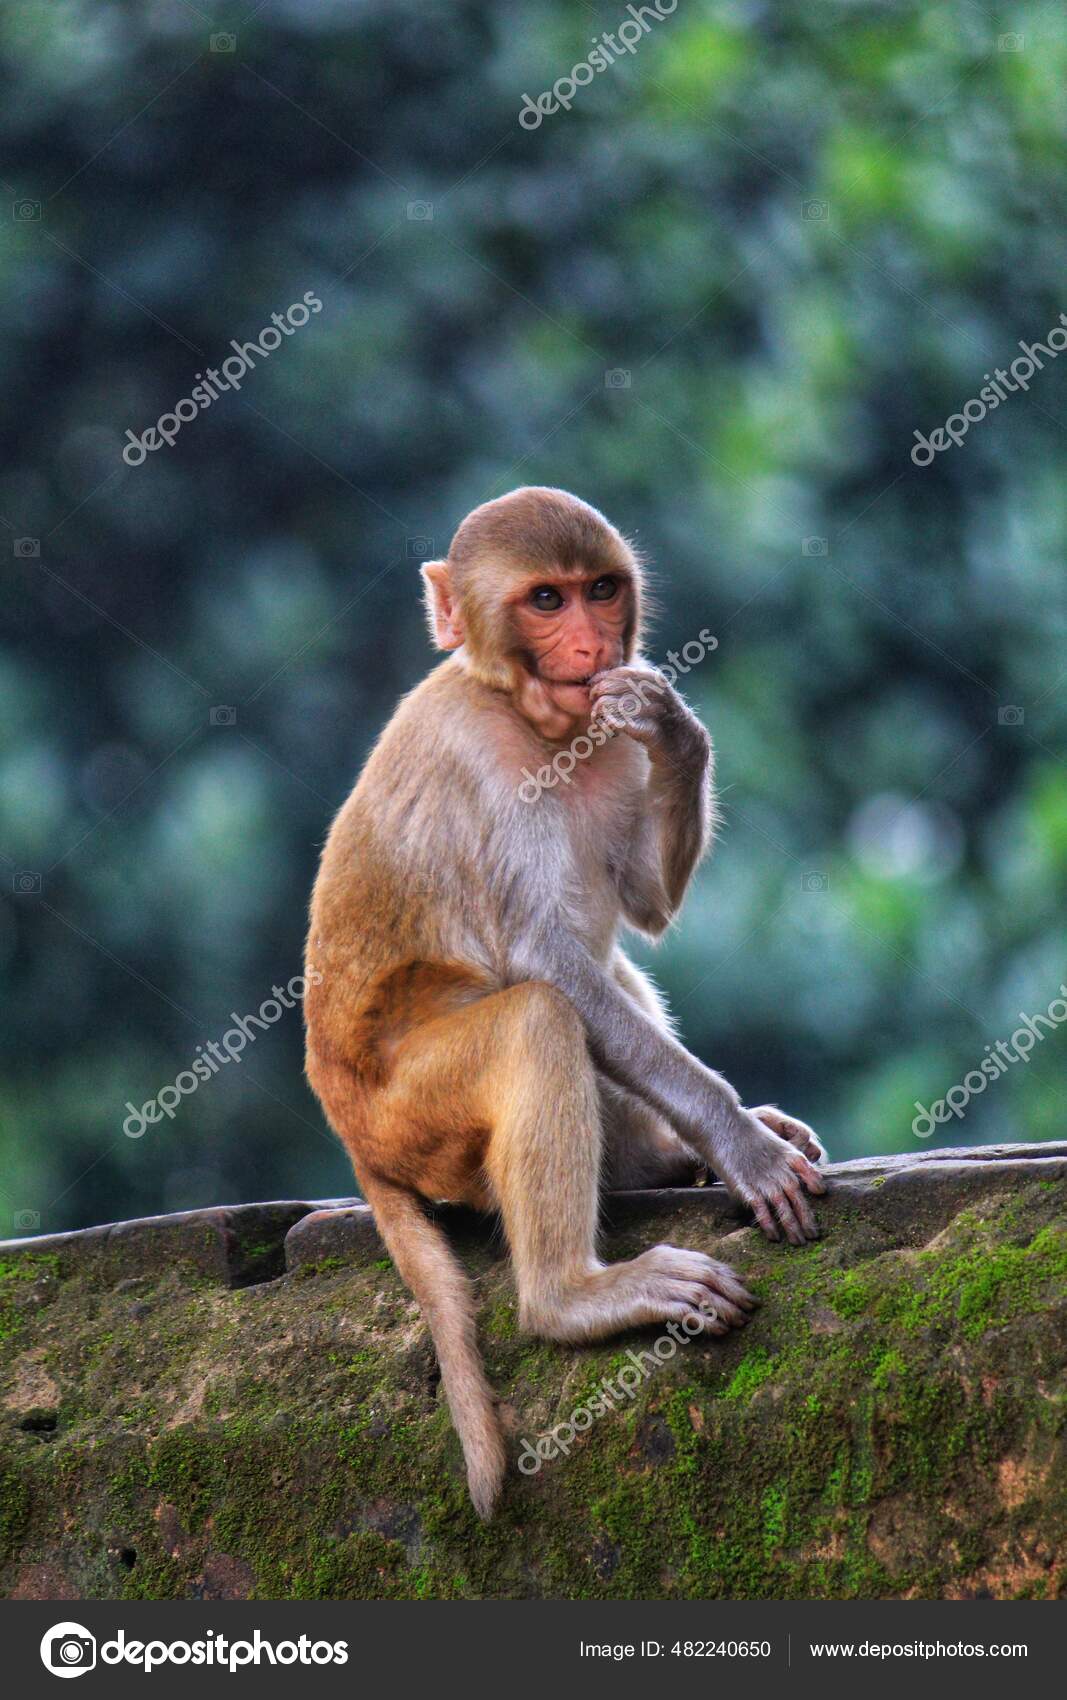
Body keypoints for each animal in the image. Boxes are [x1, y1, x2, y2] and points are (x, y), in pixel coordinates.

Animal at [304, 485, 826, 1518]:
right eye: (545, 599)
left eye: (599, 590)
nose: (588, 645)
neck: (522, 711)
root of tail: (351, 1132)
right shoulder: (482, 762)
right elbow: (543, 956)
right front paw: (740, 1143)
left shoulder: (607, 742)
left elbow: (642, 907)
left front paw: (673, 725)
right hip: (413, 1119)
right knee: (539, 1013)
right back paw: (573, 1297)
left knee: (602, 966)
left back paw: (660, 1162)